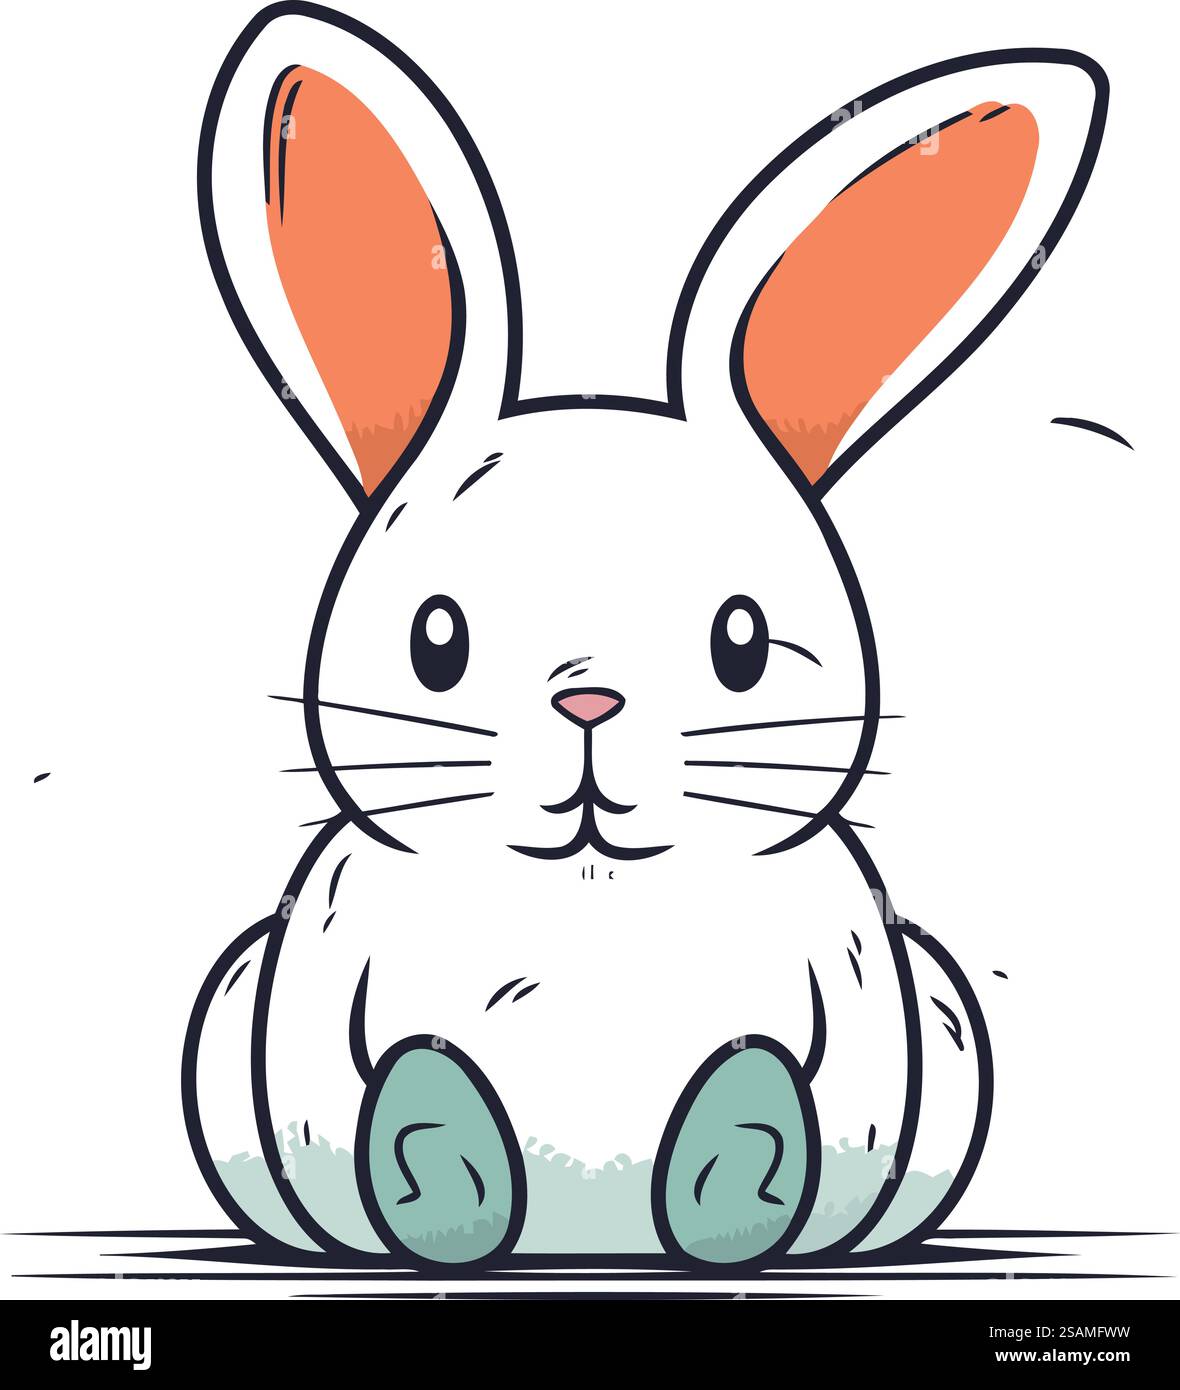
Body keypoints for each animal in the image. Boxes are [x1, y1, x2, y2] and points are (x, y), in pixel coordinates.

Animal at [183, 4, 1107, 1269]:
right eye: (436, 641)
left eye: (741, 642)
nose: (588, 700)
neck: (594, 906)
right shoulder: (311, 980)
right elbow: (345, 1090)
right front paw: (440, 1161)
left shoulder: (865, 990)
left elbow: (830, 1102)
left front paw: (737, 1161)